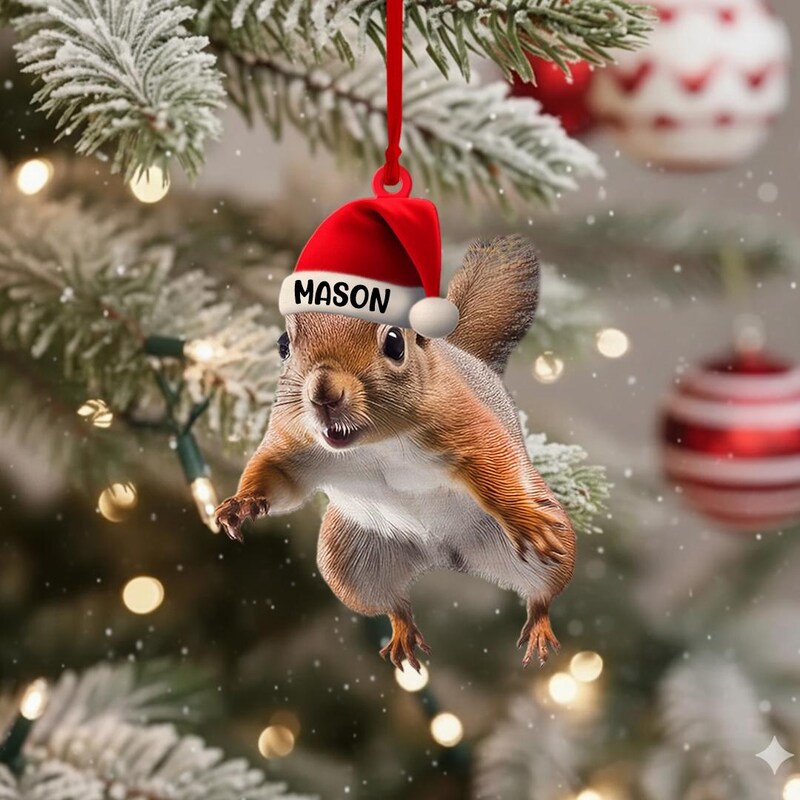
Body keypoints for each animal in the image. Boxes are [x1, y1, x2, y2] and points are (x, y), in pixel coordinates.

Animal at [215, 235, 576, 670]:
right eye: (283, 345)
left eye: (394, 343)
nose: (323, 394)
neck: (372, 444)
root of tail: (445, 554)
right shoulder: (293, 445)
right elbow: (276, 478)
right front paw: (241, 504)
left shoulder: (466, 427)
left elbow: (495, 466)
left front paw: (523, 518)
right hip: (350, 562)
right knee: (392, 603)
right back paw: (402, 632)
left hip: (546, 549)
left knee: (542, 593)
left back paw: (538, 623)